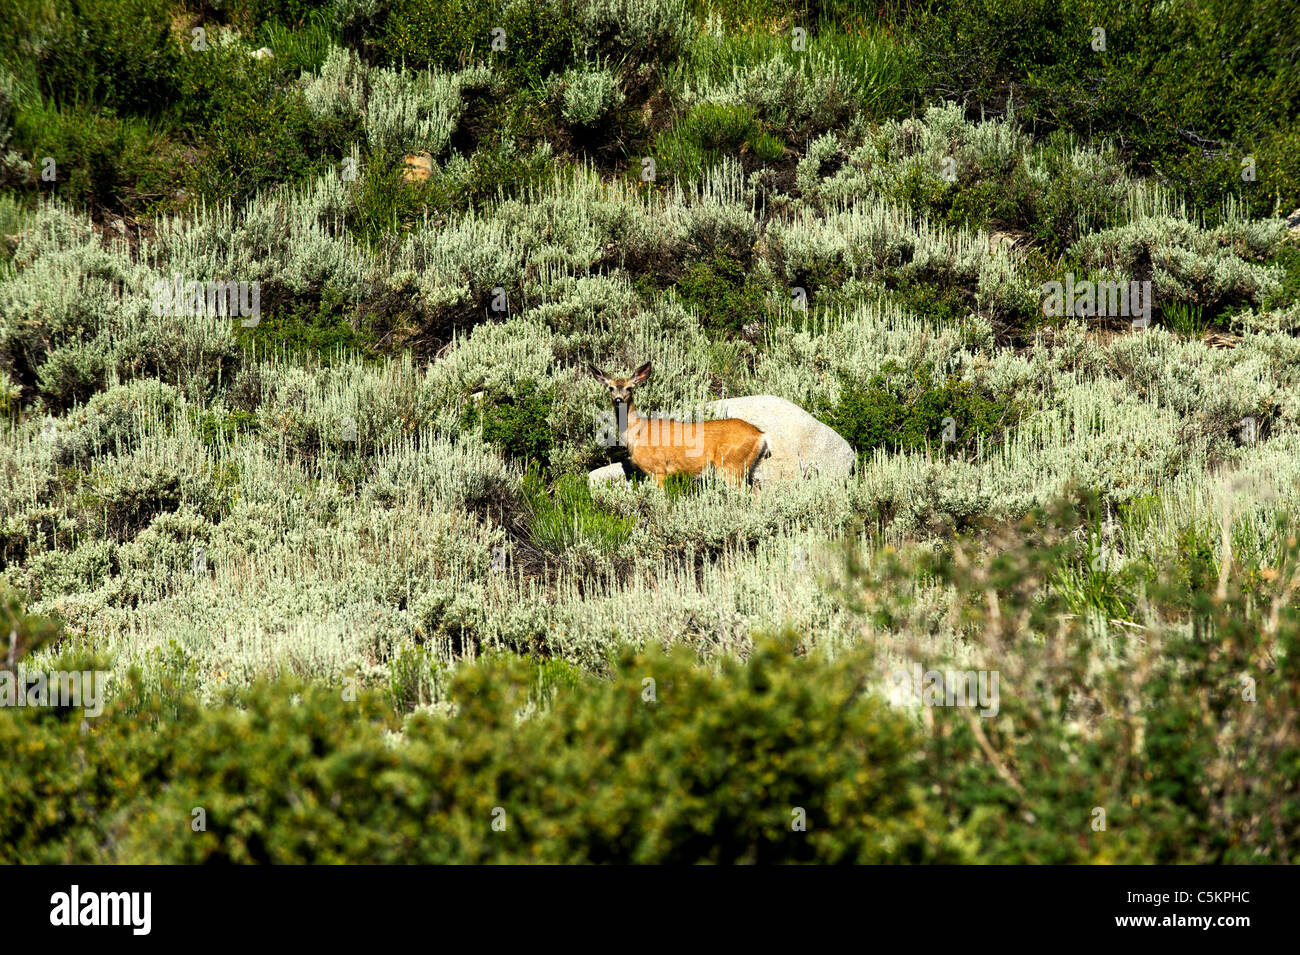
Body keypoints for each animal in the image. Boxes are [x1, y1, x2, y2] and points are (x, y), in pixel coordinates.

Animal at [588, 361, 769, 488]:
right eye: (610, 388)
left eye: (629, 388)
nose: (618, 400)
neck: (636, 433)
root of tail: (761, 436)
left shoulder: (658, 469)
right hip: (747, 466)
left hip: (731, 463)